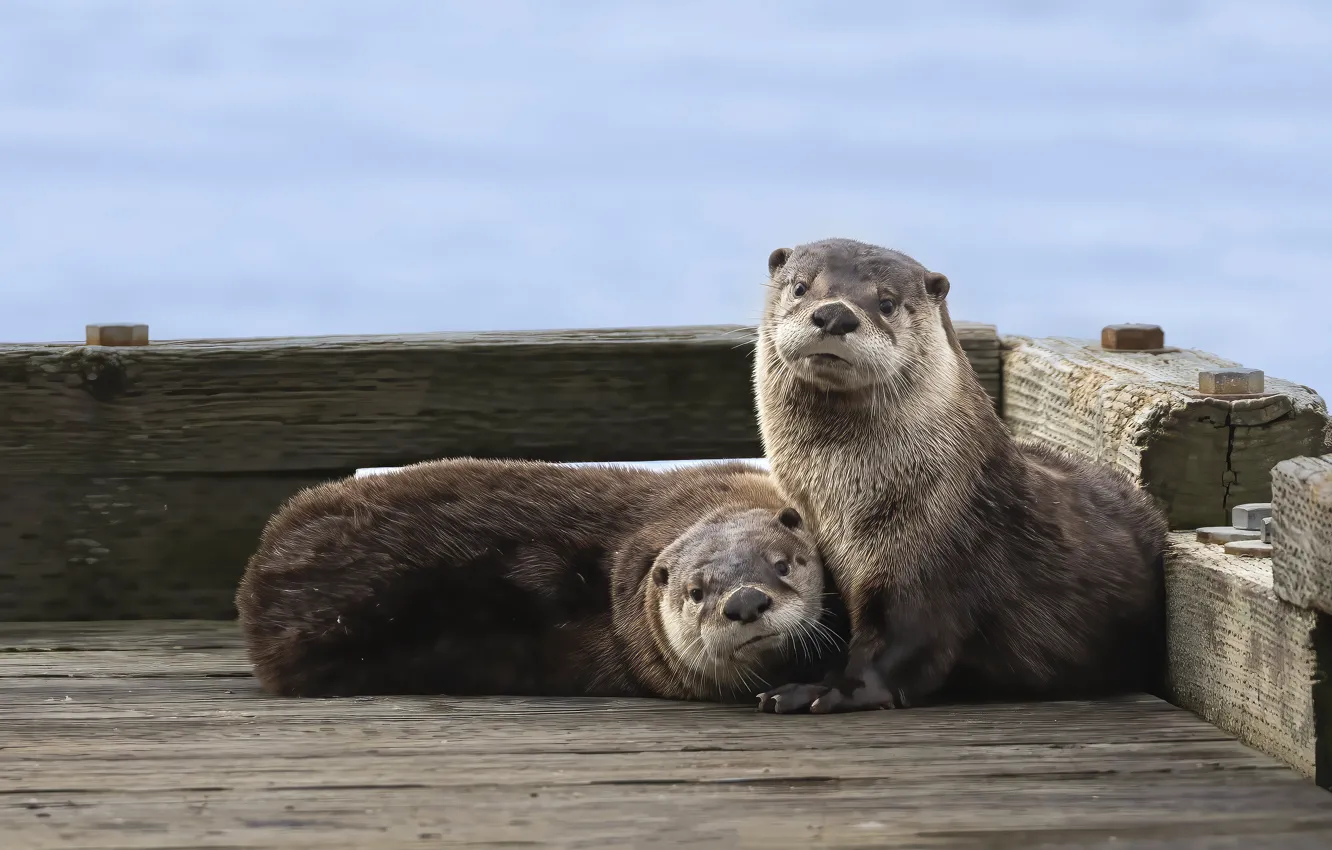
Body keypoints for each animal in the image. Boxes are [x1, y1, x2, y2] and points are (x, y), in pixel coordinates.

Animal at [752, 238, 1168, 713]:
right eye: (800, 287)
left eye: (887, 303)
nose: (836, 314)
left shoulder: (931, 563)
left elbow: (899, 650)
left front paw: (821, 691)